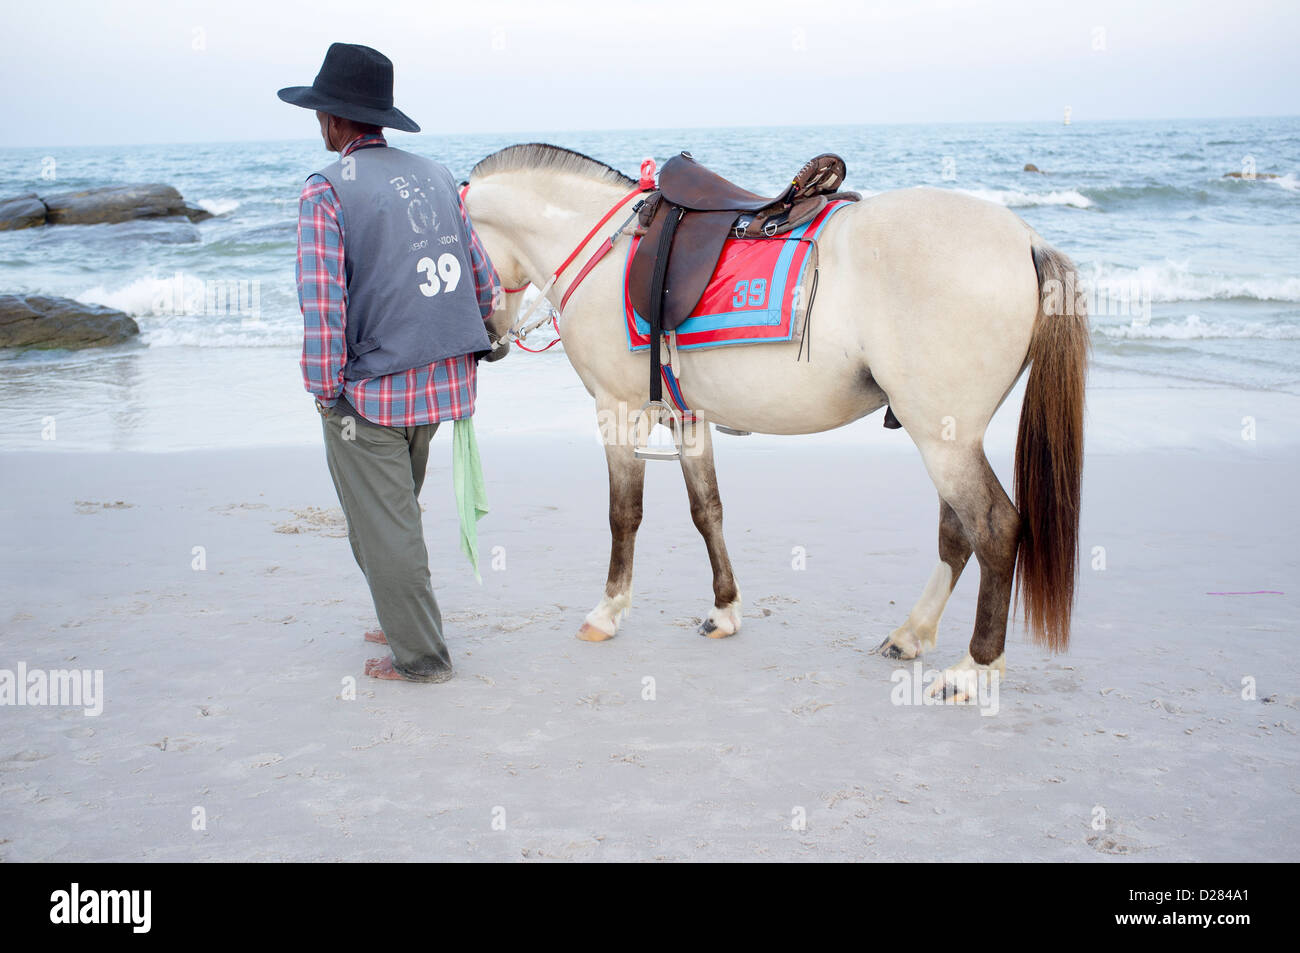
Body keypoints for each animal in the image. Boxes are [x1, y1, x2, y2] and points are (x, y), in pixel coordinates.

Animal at [464, 144, 1088, 697]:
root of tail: (1028, 240)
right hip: (951, 437)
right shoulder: (688, 418)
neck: (605, 249)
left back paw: (973, 669)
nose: (489, 342)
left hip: (942, 438)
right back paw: (912, 633)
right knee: (958, 534)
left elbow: (625, 515)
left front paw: (608, 610)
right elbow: (707, 511)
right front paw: (724, 609)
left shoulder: (616, 411)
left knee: (995, 529)